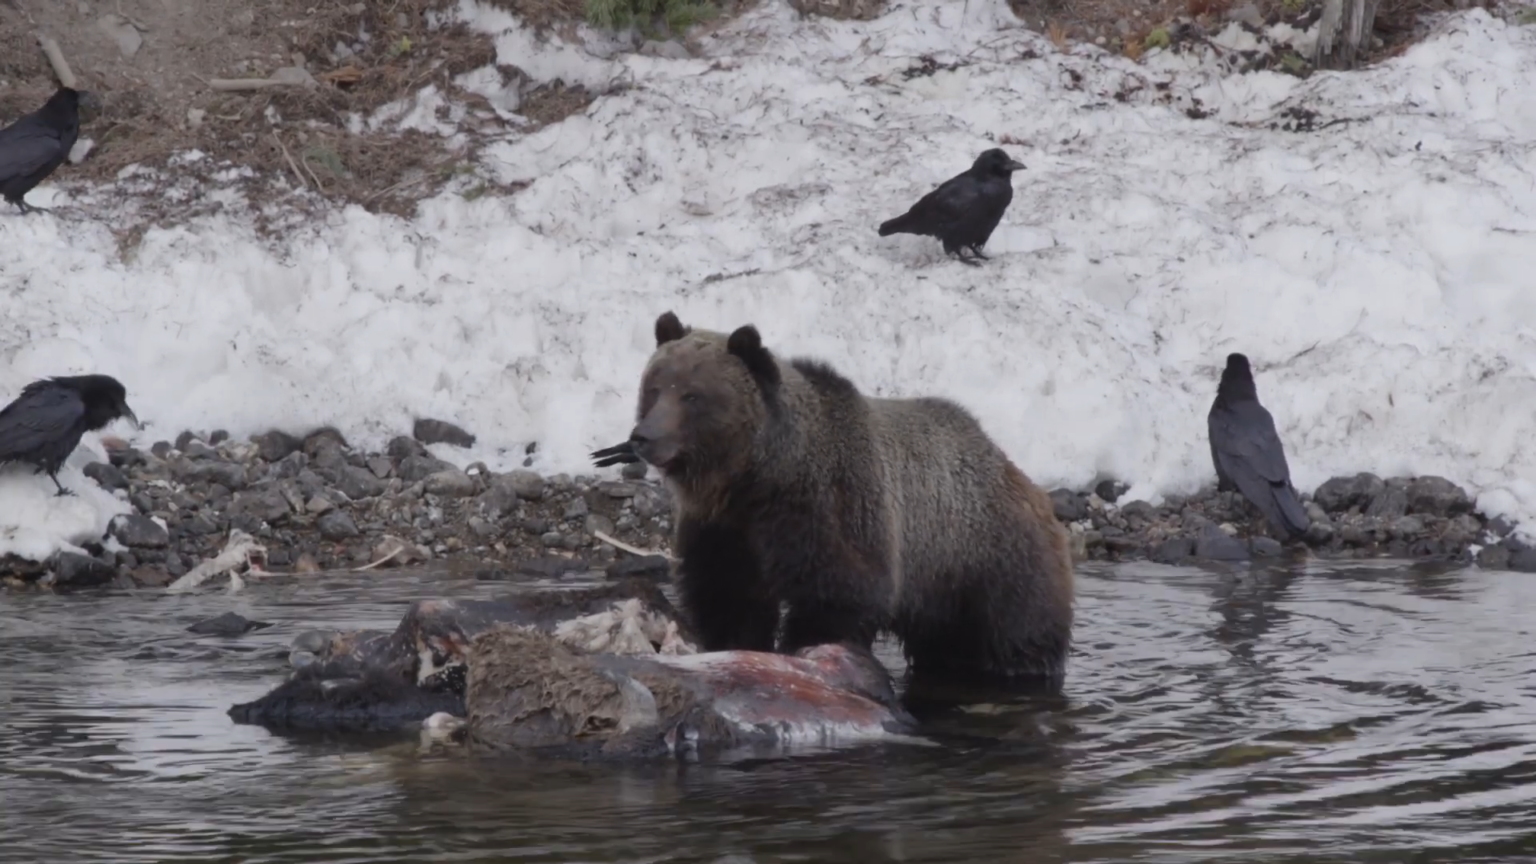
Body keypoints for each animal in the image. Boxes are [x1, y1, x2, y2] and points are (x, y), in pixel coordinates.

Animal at [619, 310, 1075, 684]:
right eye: (655, 387)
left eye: (692, 395)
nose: (643, 437)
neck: (757, 477)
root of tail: (1019, 475)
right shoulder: (722, 529)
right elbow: (727, 599)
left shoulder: (833, 509)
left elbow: (837, 596)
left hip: (989, 559)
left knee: (1016, 633)